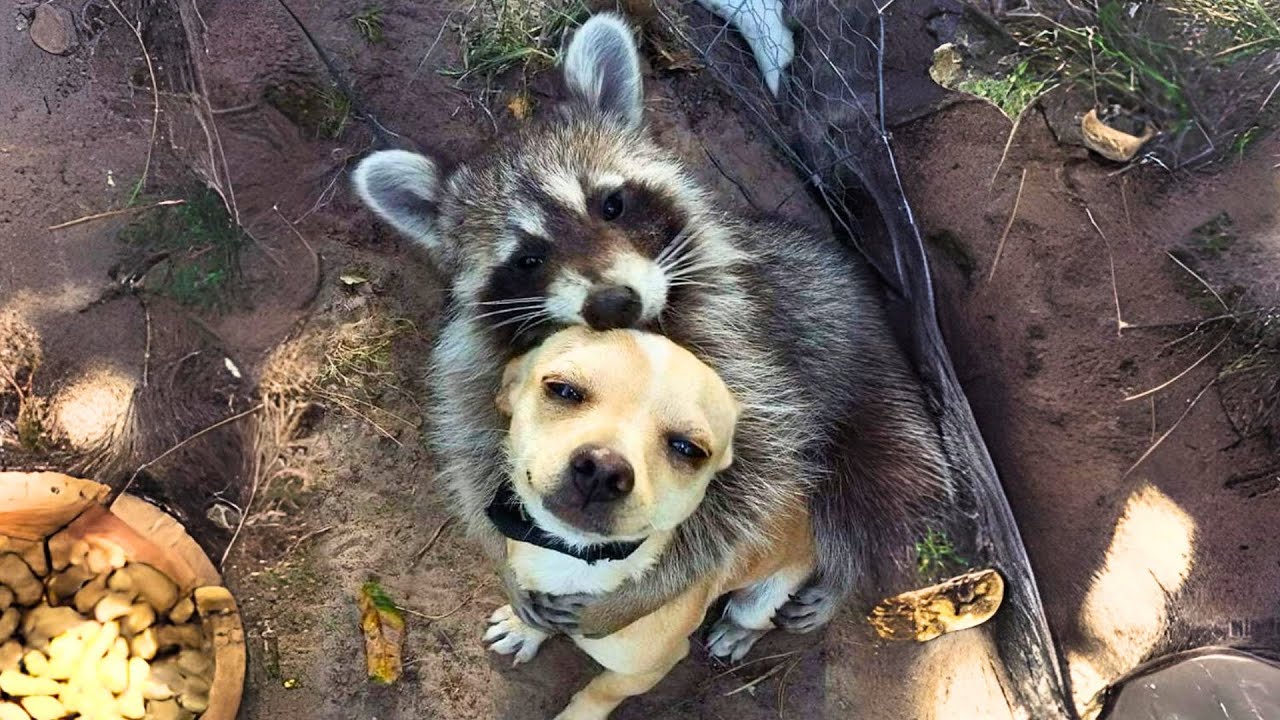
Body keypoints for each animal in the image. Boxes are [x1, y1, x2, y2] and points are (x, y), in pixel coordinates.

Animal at [352, 14, 952, 642]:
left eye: (611, 205)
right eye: (528, 259)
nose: (613, 303)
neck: (636, 336)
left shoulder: (745, 344)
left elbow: (748, 487)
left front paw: (642, 594)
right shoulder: (476, 359)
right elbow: (472, 448)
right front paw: (508, 566)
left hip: (883, 411)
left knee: (868, 496)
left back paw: (836, 579)